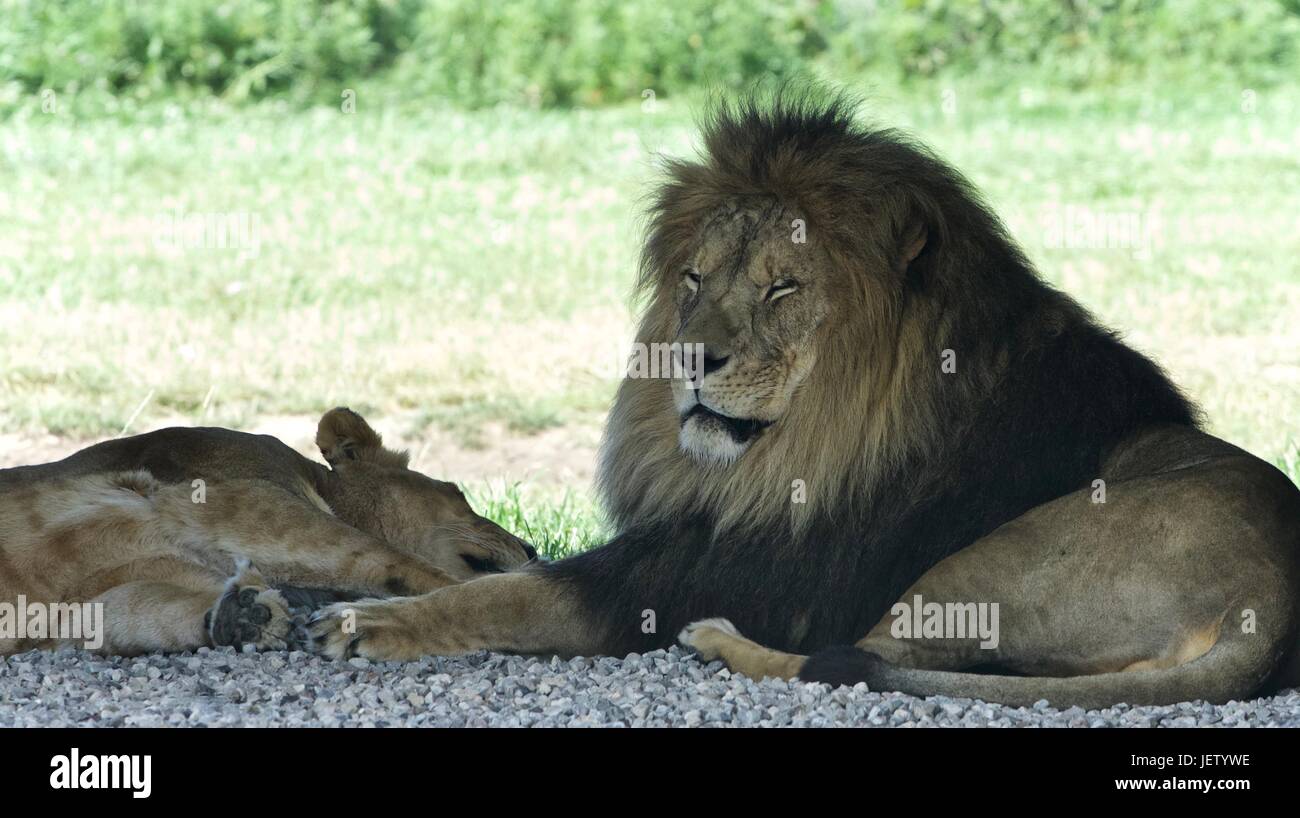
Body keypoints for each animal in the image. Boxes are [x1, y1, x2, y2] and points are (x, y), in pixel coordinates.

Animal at [0, 407, 535, 656]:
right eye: (458, 492)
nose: (531, 547)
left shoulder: (88, 601)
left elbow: (139, 610)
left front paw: (243, 616)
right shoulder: (248, 501)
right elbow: (392, 562)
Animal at [308, 93, 1300, 709]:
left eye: (783, 288)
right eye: (695, 279)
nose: (684, 357)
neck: (794, 446)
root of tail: (1270, 597)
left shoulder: (721, 571)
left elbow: (513, 597)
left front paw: (373, 621)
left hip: (977, 568)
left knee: (858, 663)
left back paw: (717, 641)